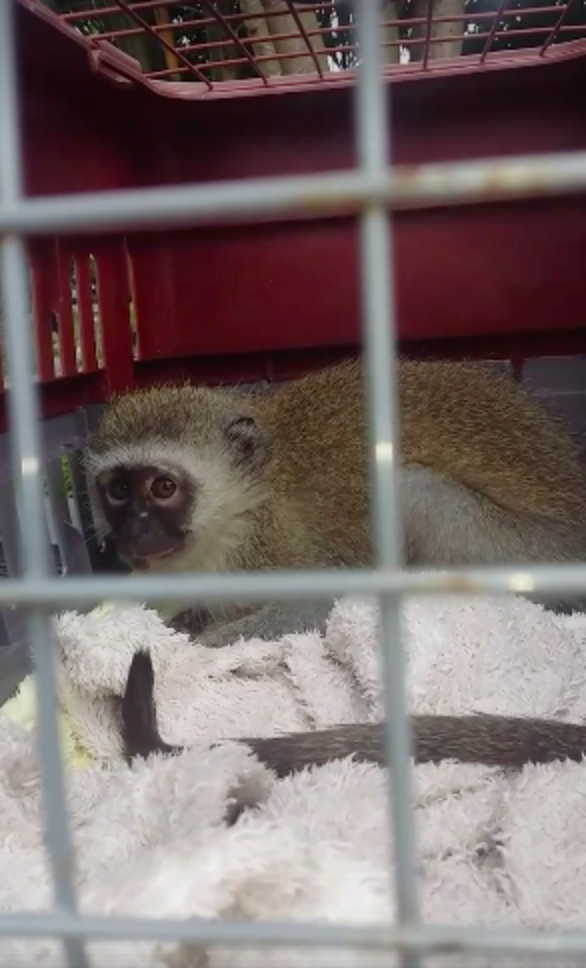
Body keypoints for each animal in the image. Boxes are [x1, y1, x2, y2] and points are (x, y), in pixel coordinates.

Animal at [85, 358, 586, 648]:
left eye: (163, 488)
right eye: (119, 491)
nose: (135, 532)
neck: (239, 511)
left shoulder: (270, 547)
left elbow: (316, 605)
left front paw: (193, 640)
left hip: (524, 551)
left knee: (413, 486)